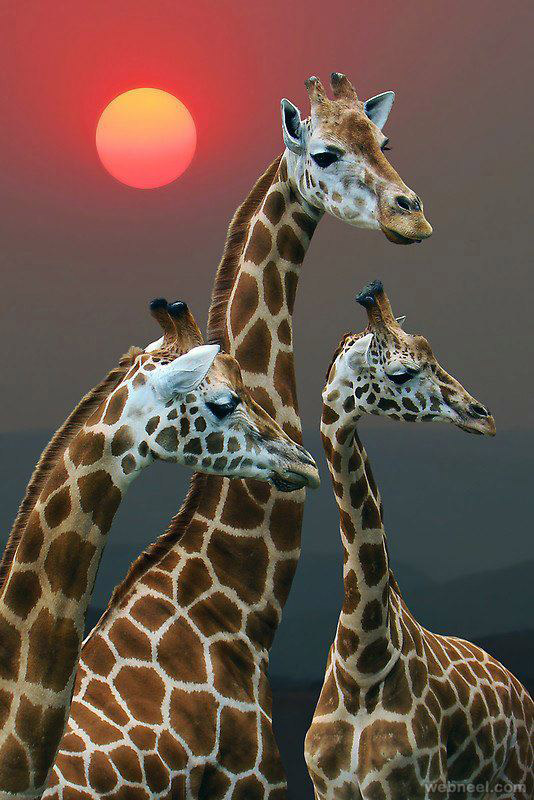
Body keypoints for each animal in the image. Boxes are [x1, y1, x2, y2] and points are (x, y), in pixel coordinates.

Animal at [305, 281, 533, 800]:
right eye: (402, 371)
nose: (483, 417)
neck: (363, 661)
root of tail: (521, 690)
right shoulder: (327, 788)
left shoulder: (418, 783)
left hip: (518, 781)